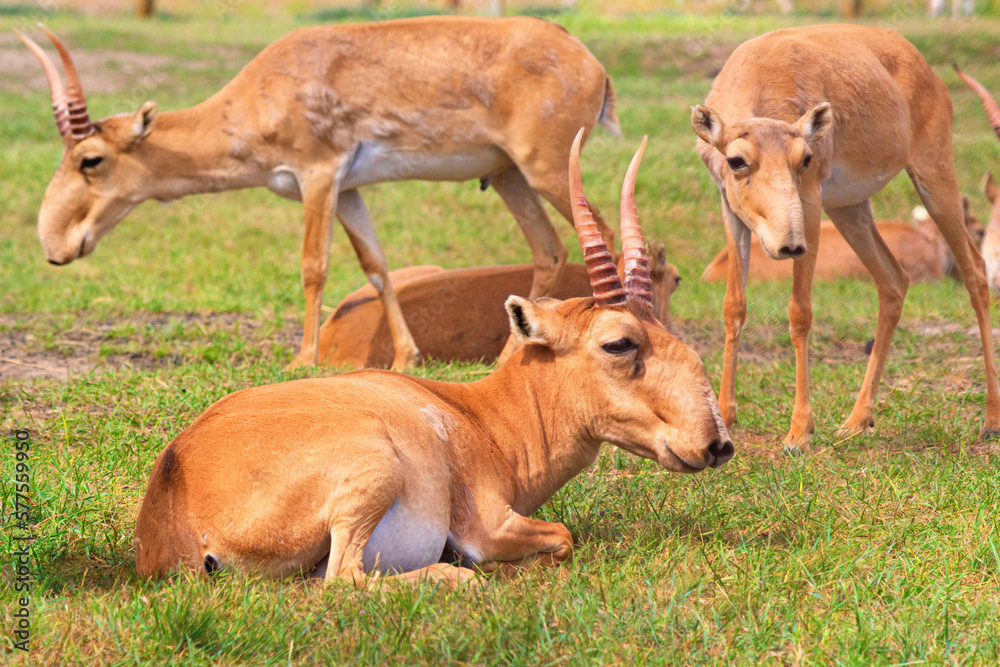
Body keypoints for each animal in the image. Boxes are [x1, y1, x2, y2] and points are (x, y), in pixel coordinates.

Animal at [16, 18, 620, 372]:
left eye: (90, 159)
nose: (54, 245)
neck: (261, 91)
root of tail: (591, 61)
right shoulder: (349, 190)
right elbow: (376, 266)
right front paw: (405, 358)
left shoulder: (319, 174)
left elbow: (314, 264)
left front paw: (301, 359)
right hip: (510, 175)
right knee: (549, 249)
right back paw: (505, 358)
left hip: (546, 169)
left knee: (603, 235)